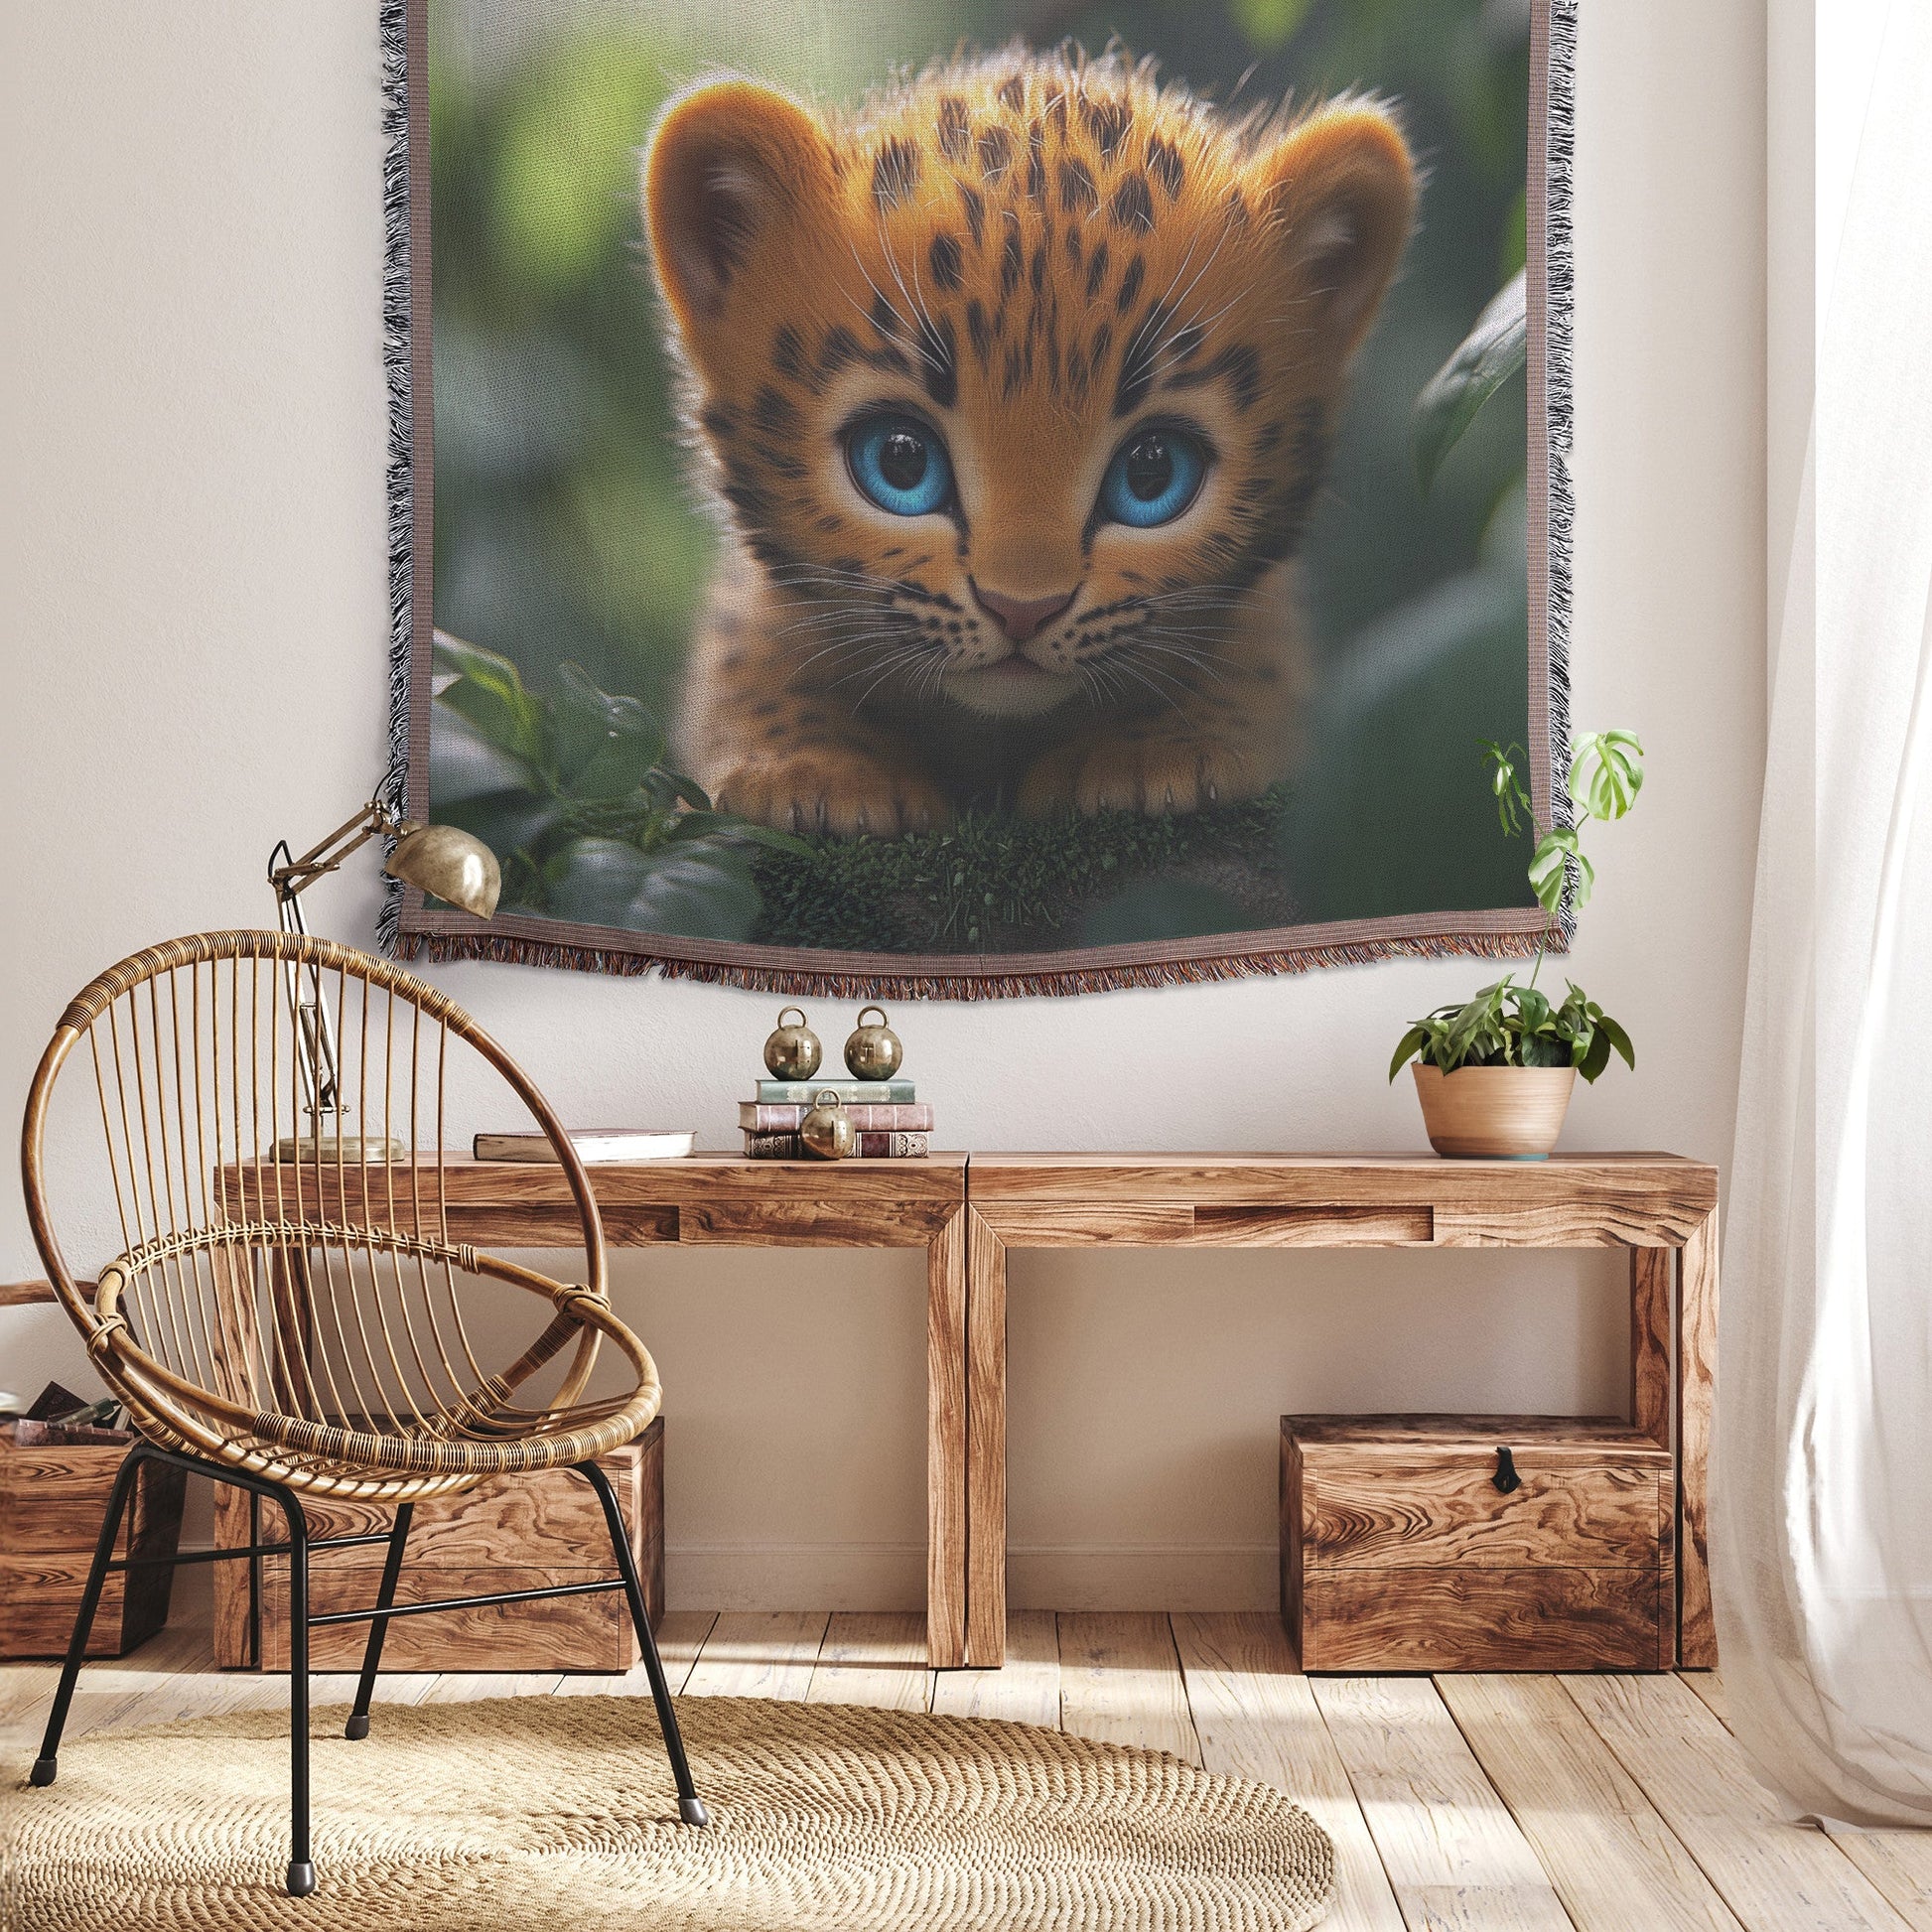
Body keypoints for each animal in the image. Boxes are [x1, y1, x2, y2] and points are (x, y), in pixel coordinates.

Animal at [641, 46, 1416, 833]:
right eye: (900, 461)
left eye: (1152, 474)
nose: (1022, 609)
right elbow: (750, 670)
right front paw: (811, 766)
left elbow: (1252, 673)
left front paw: (1154, 753)